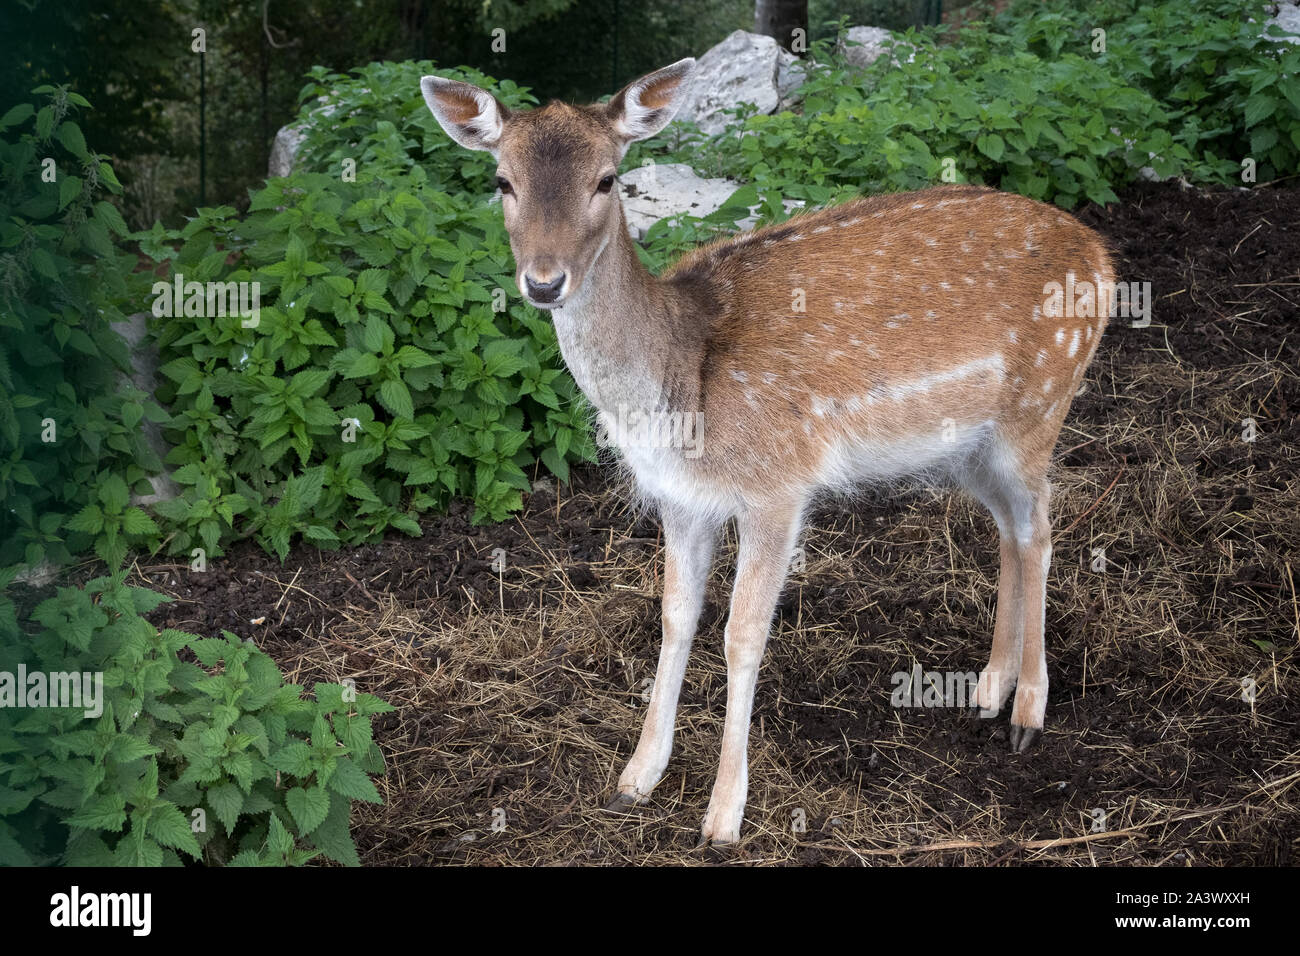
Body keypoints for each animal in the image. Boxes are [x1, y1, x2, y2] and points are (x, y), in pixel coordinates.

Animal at [421, 57, 1114, 845]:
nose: (543, 282)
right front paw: (636, 779)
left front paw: (723, 816)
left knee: (1041, 529)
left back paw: (1028, 712)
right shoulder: (681, 499)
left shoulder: (779, 485)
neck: (679, 391)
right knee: (1008, 529)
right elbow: (674, 619)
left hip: (1042, 404)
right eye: (502, 181)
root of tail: (1103, 254)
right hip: (970, 443)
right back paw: (989, 689)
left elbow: (742, 636)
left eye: (607, 179)